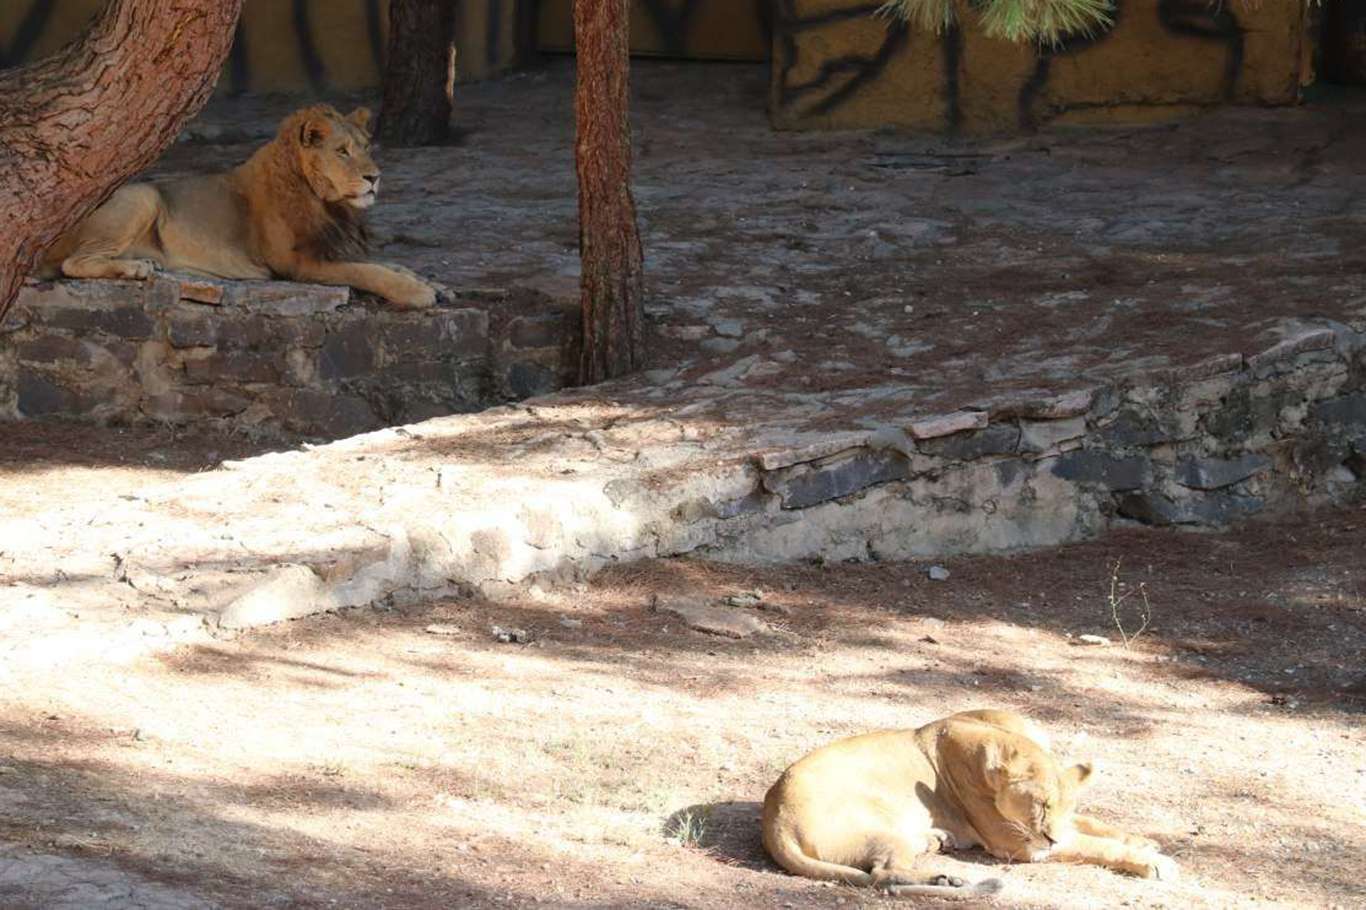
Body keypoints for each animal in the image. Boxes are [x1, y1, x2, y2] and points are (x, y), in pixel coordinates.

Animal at [39, 104, 436, 309]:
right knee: (73, 263)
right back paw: (136, 268)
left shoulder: (333, 247)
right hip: (143, 196)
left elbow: (386, 264)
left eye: (367, 147)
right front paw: (418, 293)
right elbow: (368, 272)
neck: (331, 204)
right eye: (342, 151)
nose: (375, 177)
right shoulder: (300, 264)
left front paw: (423, 279)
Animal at [762, 709, 1178, 899]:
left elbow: (1092, 825)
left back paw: (938, 850)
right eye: (1040, 805)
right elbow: (1095, 846)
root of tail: (775, 821)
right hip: (882, 832)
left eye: (1065, 806)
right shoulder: (1022, 846)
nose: (1053, 838)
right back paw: (945, 877)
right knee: (883, 875)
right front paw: (1154, 862)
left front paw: (1143, 841)